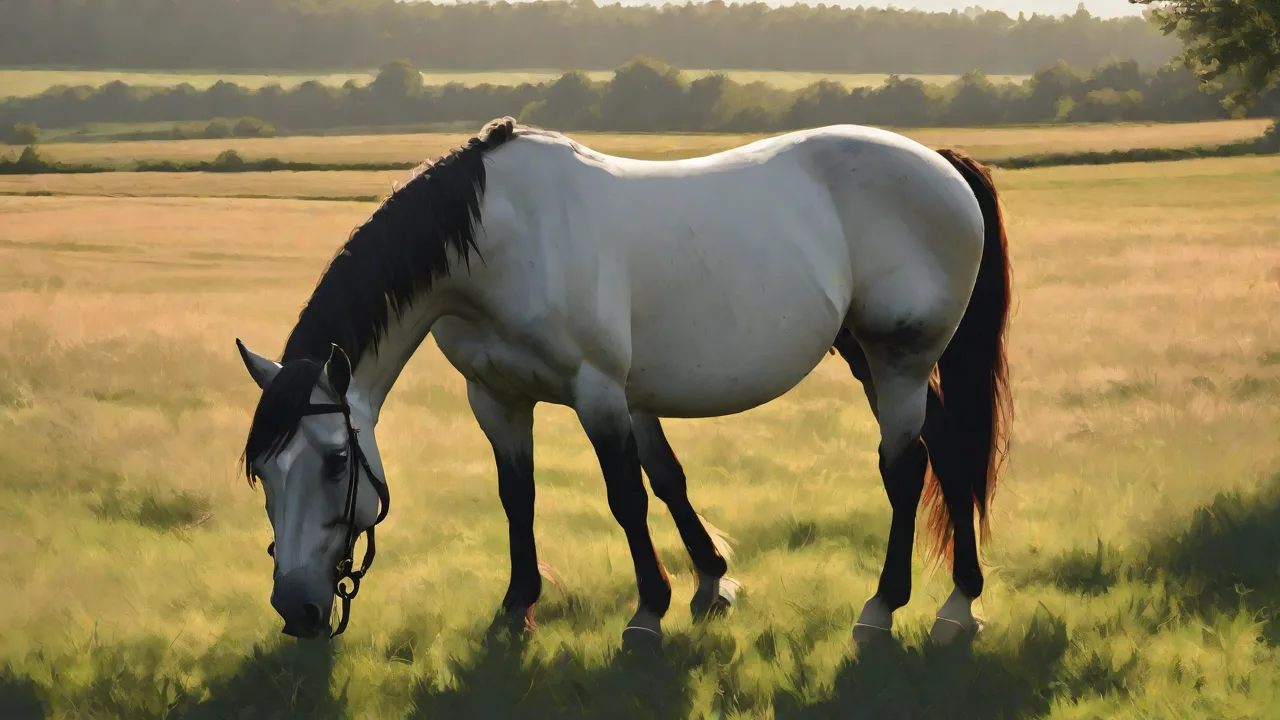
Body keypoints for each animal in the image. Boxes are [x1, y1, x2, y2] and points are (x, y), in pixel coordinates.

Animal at [236, 116, 1012, 646]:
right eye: (264, 474)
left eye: (337, 462)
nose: (297, 610)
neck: (504, 241)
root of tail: (940, 163)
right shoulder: (499, 400)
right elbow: (541, 494)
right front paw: (523, 605)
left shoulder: (598, 391)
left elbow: (627, 496)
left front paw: (649, 610)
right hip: (869, 355)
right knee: (948, 451)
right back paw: (960, 601)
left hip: (899, 357)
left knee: (906, 468)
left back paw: (885, 608)